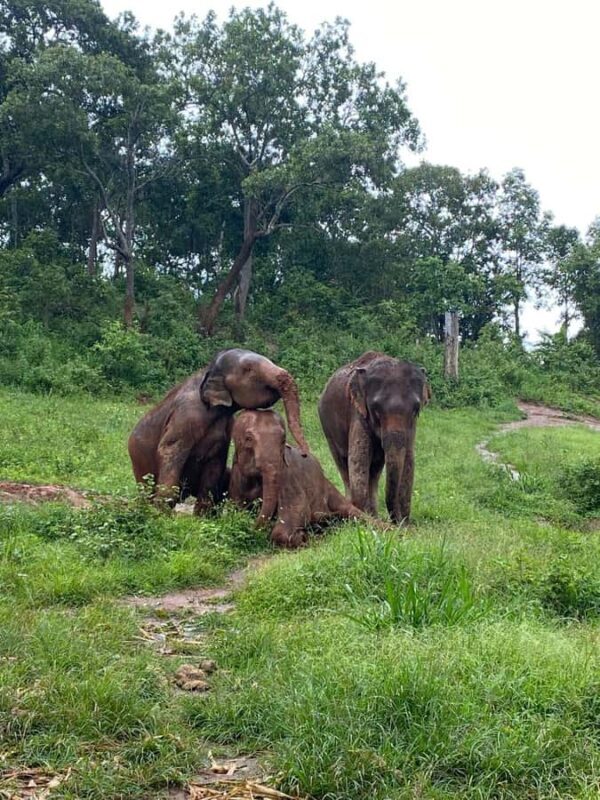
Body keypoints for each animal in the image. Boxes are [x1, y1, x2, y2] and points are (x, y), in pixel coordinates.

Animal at [128, 349, 310, 511]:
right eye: (249, 370)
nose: (304, 454)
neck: (207, 369)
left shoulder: (227, 425)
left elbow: (215, 463)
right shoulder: (185, 415)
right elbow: (170, 450)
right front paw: (161, 514)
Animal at [229, 410, 364, 548]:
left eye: (283, 440)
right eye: (248, 439)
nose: (250, 528)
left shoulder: (289, 479)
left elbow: (297, 512)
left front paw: (302, 537)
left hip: (327, 486)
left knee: (353, 511)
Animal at [318, 351, 430, 524]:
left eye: (415, 409)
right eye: (376, 409)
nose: (397, 522)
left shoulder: (412, 425)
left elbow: (409, 459)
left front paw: (405, 523)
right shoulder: (358, 413)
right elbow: (358, 459)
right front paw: (362, 521)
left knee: (375, 469)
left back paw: (374, 515)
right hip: (328, 429)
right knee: (343, 463)